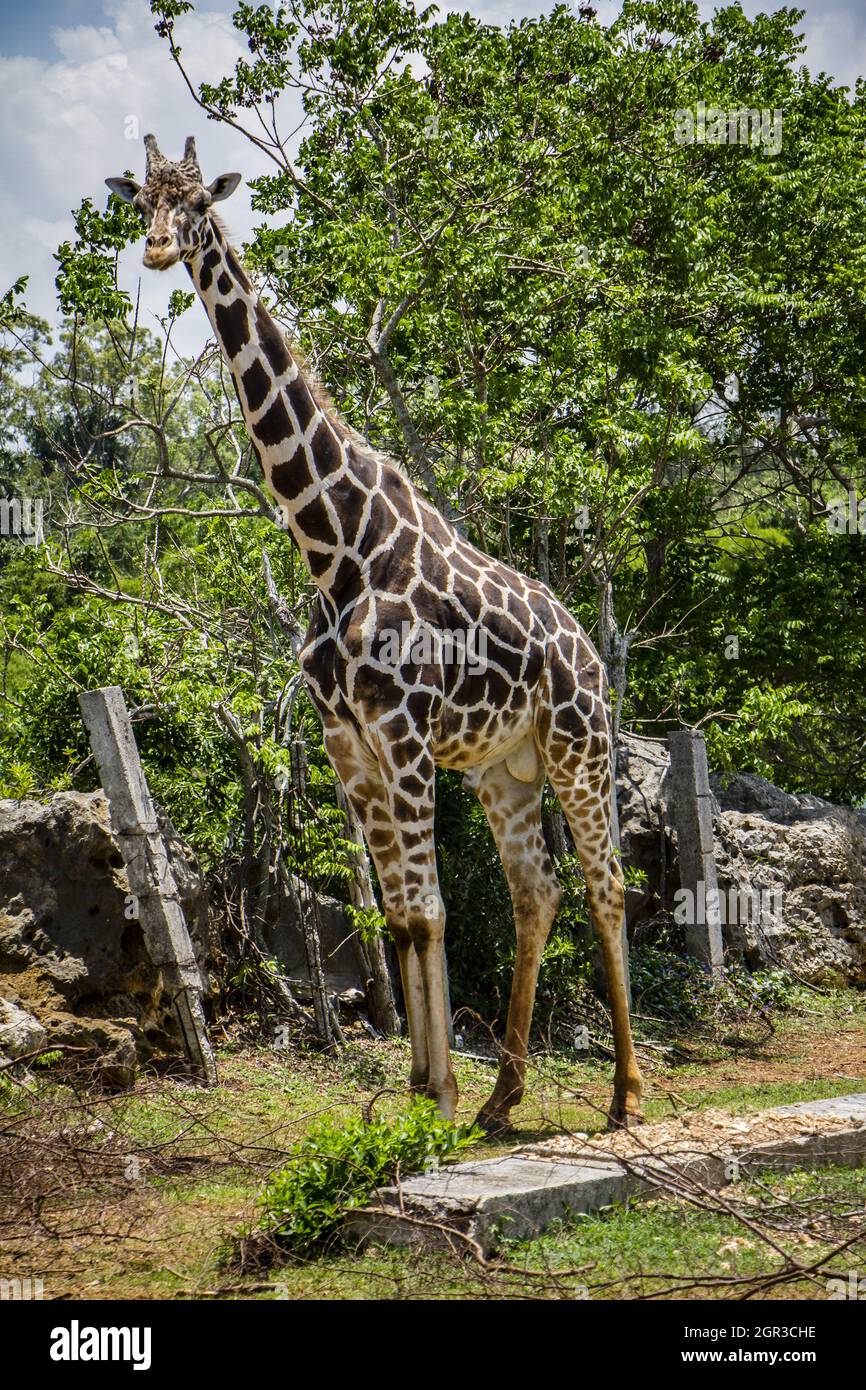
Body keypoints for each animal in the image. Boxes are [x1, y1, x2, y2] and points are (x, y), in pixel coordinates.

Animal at [106, 135, 643, 1131]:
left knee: (607, 885)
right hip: (505, 769)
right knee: (536, 892)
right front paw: (423, 1091)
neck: (336, 544)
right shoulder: (346, 739)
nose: (159, 248)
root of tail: (590, 654)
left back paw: (626, 1095)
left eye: (199, 201)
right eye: (142, 203)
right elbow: (396, 915)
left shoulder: (401, 732)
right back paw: (503, 1099)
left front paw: (436, 1093)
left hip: (578, 747)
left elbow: (428, 911)